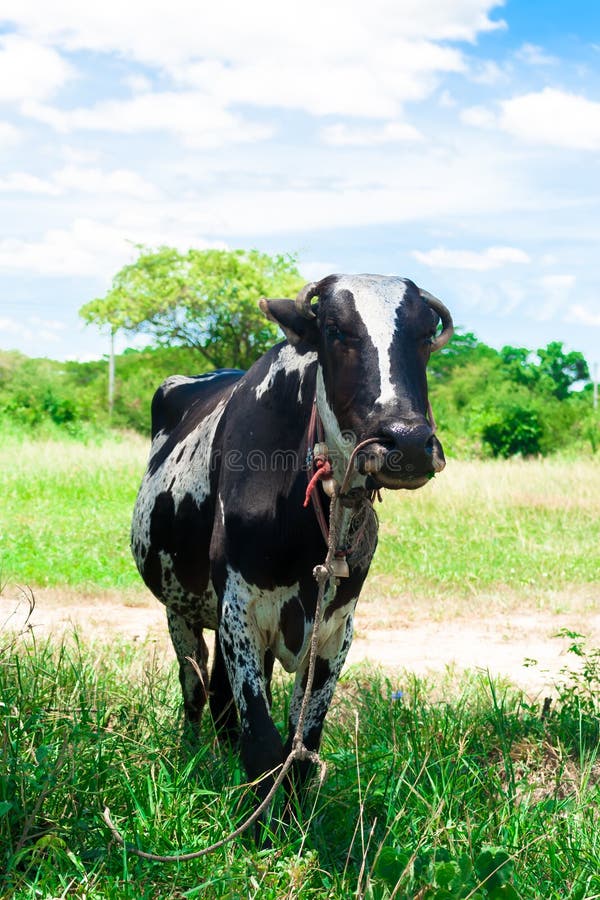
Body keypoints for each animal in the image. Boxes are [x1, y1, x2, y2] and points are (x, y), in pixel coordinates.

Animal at [131, 273, 453, 817]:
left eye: (426, 333)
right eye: (335, 330)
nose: (406, 442)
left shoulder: (335, 627)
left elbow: (300, 750)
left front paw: (296, 822)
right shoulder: (240, 612)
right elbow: (262, 747)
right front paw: (263, 827)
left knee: (220, 699)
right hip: (180, 611)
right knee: (195, 688)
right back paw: (191, 756)